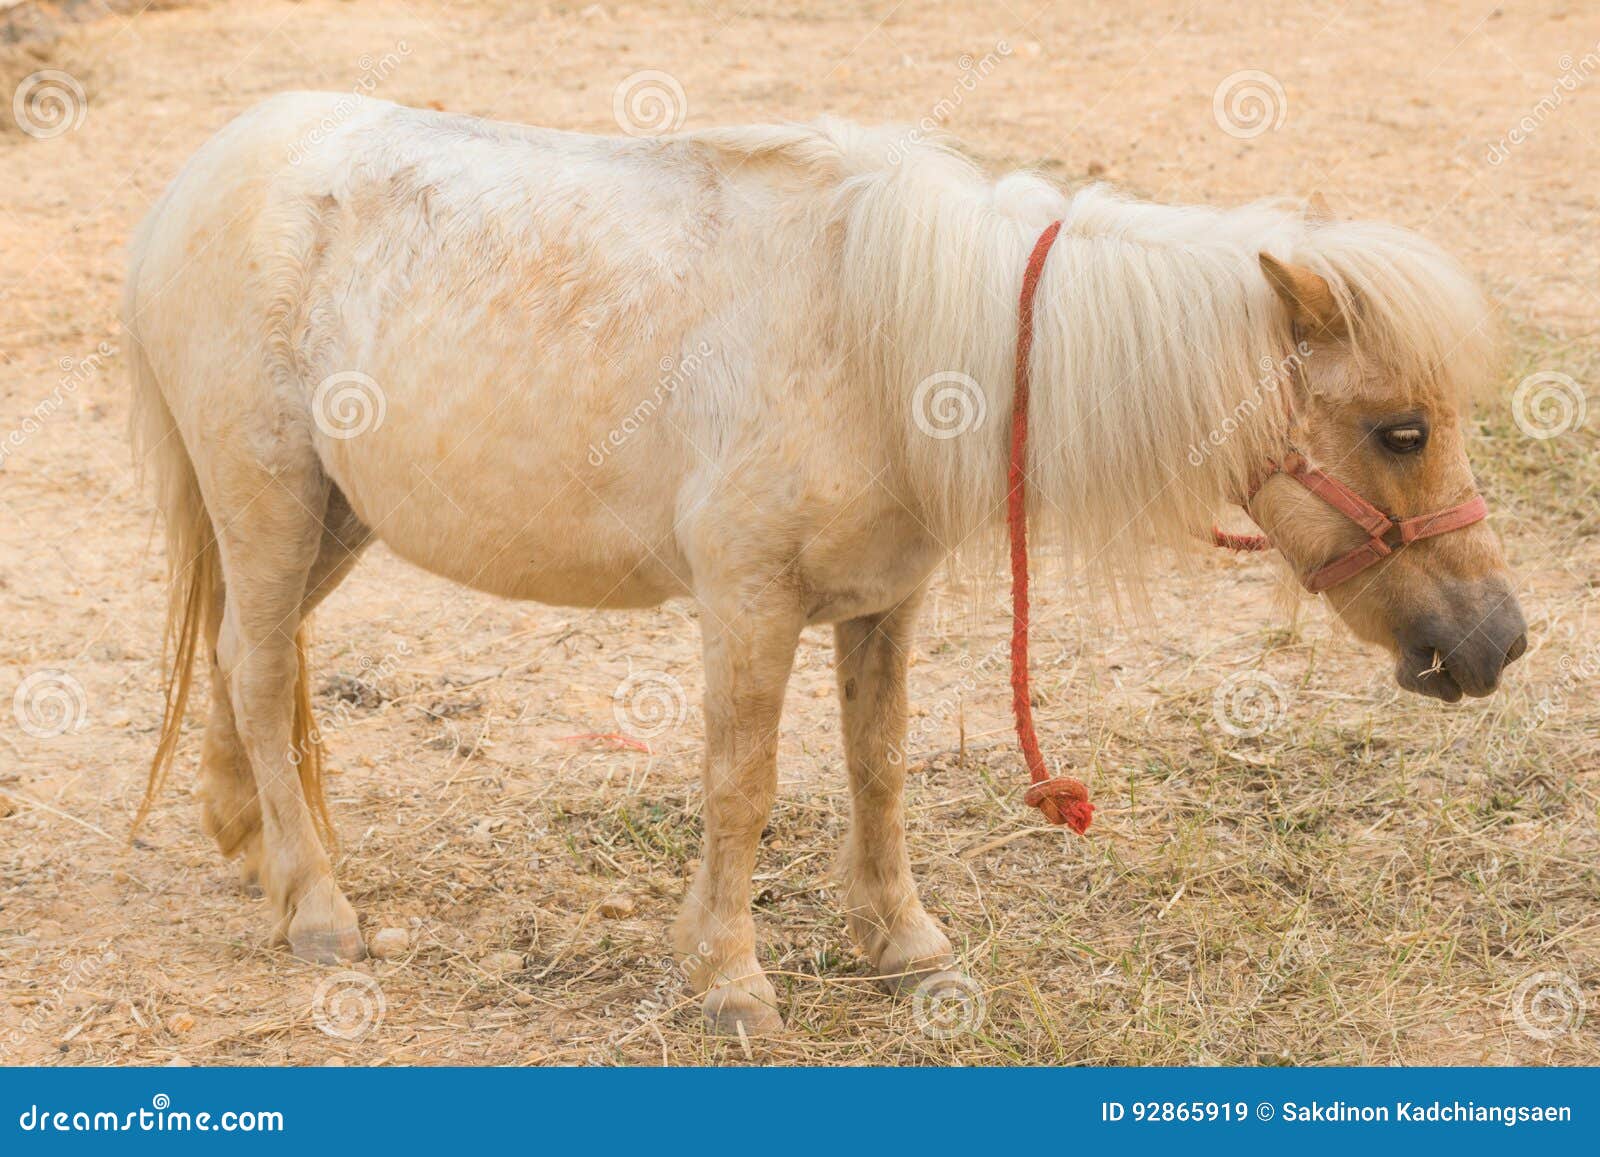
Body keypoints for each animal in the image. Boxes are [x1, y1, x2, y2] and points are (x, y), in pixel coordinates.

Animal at [124, 92, 1527, 1035]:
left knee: (250, 657)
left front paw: (902, 941)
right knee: (262, 670)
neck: (882, 341)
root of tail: (205, 170)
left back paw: (253, 844)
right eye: (1401, 431)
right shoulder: (748, 601)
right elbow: (741, 785)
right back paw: (317, 906)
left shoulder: (882, 599)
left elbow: (877, 765)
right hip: (269, 502)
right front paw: (730, 977)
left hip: (330, 521)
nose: (1497, 641)